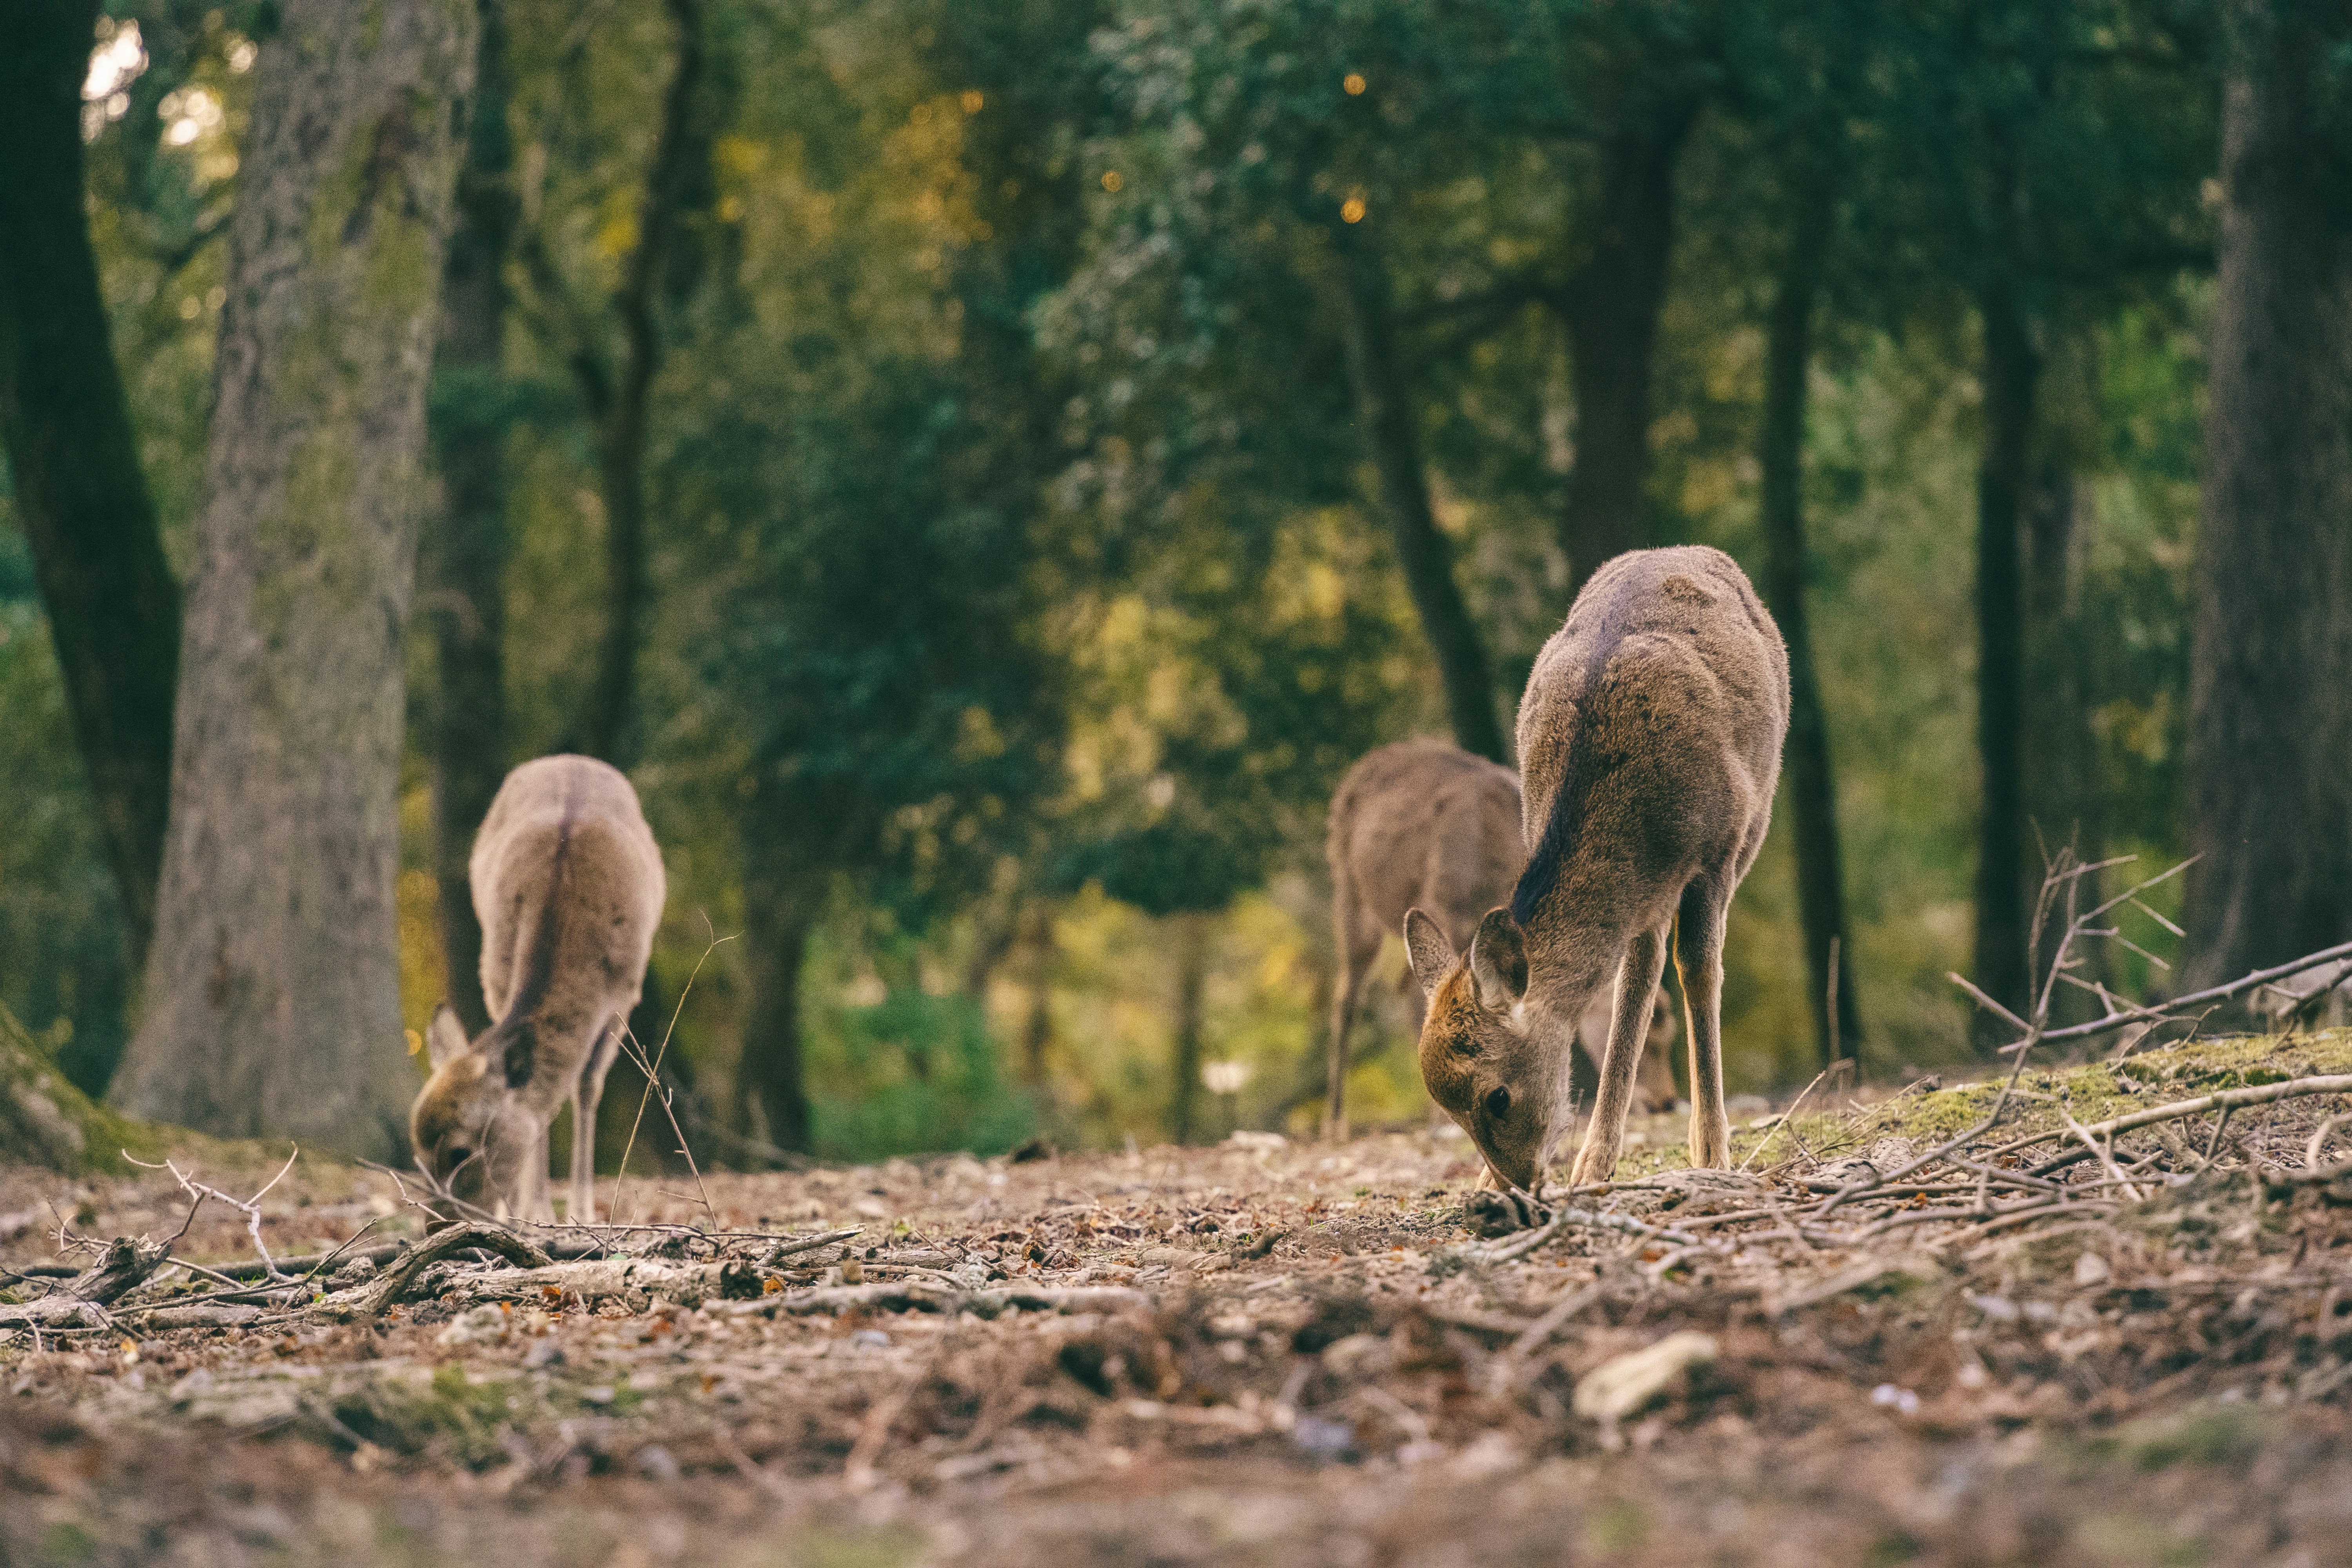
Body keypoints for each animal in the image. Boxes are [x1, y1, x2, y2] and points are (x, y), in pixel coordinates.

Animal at [410, 755, 667, 1224]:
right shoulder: (495, 972)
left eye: (460, 1152)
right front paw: (533, 1211)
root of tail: (571, 758)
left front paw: (579, 1212)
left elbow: (585, 1087)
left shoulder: (624, 995)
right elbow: (541, 1105)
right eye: (417, 1151)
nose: (440, 1224)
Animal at [1325, 740, 1679, 1142]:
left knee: (1400, 986)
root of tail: (1358, 771)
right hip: (1349, 886)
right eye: (1649, 1032)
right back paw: (1335, 1124)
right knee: (1347, 997)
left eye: (1670, 1034)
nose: (1665, 1102)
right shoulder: (1438, 903)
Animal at [1405, 546, 1788, 1194]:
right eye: (1451, 1113)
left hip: (1753, 820)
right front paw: (1492, 1182)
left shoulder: (1716, 851)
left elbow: (1699, 972)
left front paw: (1712, 1152)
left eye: (1498, 1097)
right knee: (1642, 967)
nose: (1515, 1182)